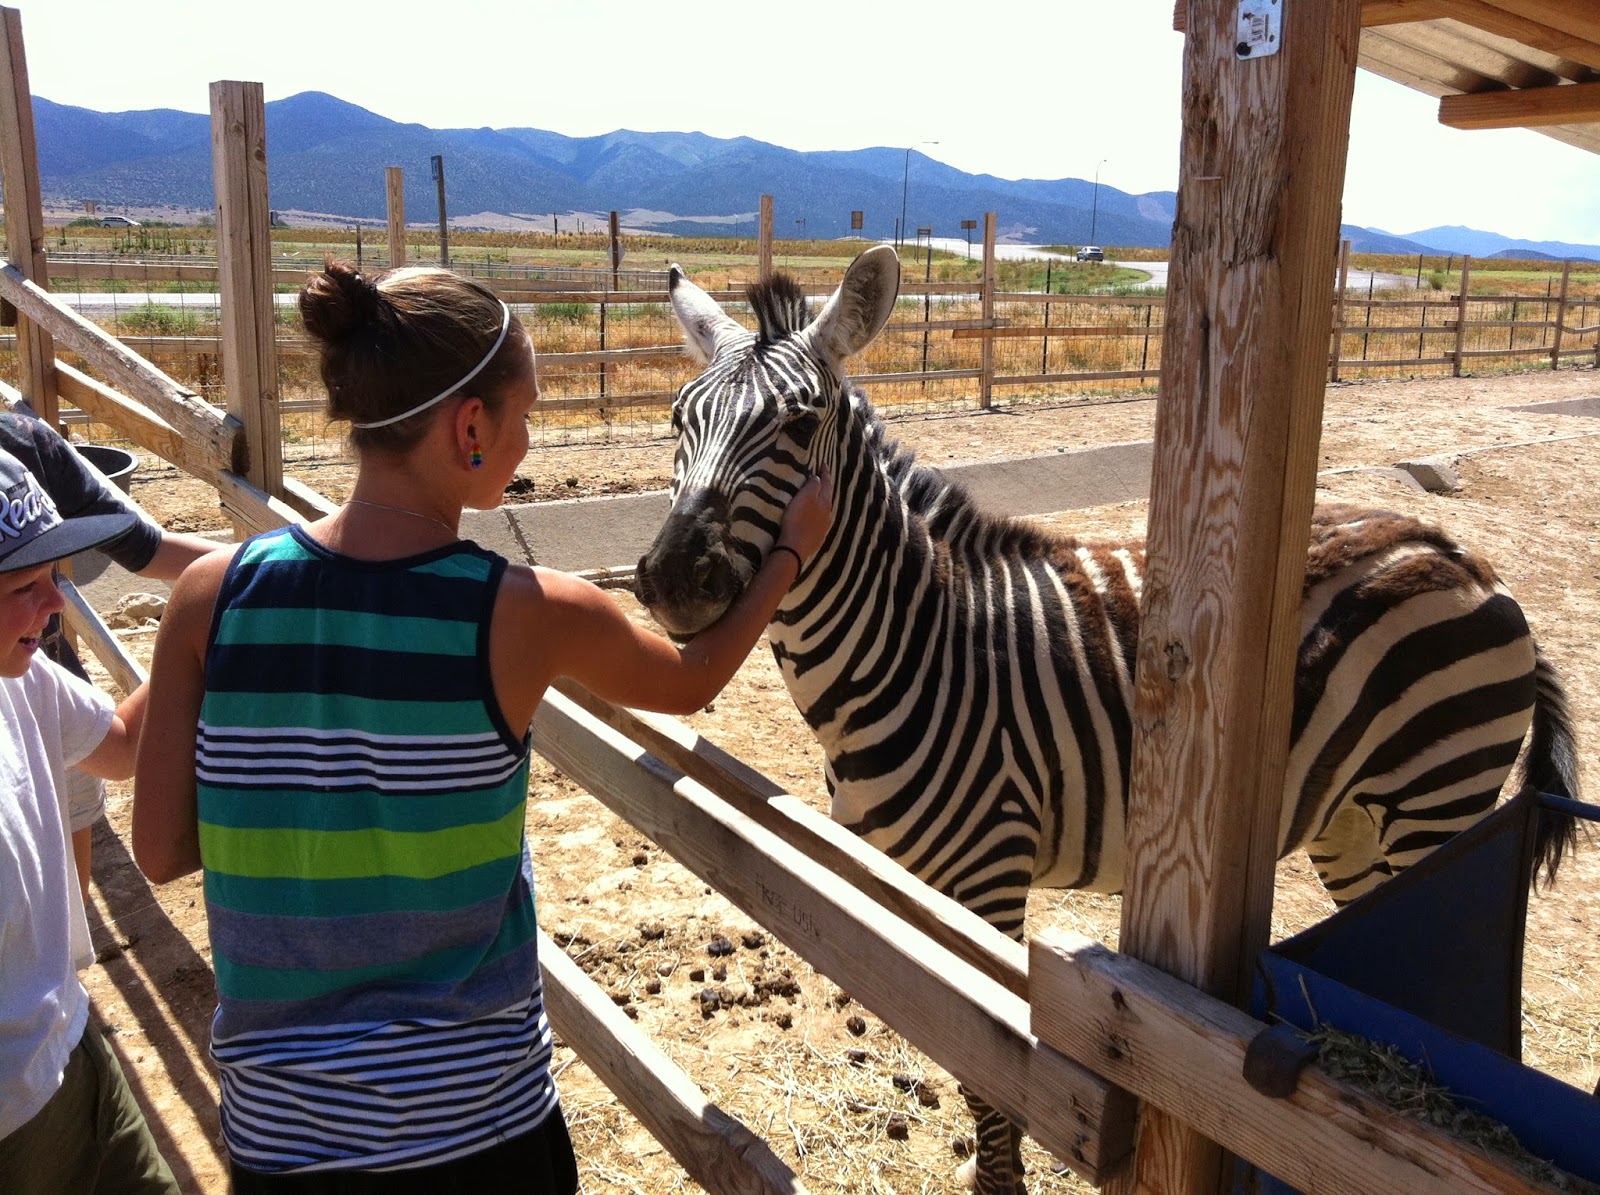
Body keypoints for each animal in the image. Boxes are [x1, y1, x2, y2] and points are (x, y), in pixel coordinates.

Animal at [632, 245, 1581, 1195]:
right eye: (677, 419)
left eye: (799, 425)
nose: (672, 577)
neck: (915, 642)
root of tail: (1467, 558)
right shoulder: (898, 872)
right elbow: (941, 1024)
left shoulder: (989, 876)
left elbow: (989, 1061)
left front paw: (1000, 1181)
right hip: (1352, 825)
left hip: (1433, 804)